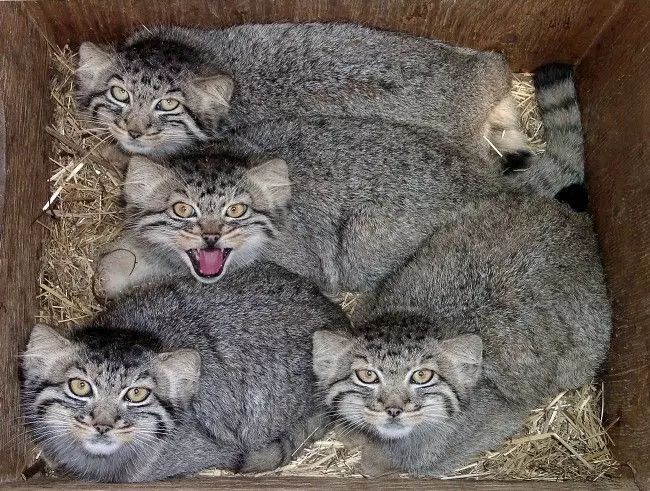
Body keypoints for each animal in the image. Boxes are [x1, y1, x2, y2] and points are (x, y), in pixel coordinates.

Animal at [312, 195, 608, 476]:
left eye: (422, 376)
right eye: (367, 376)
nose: (394, 409)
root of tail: (579, 223)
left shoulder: (496, 416)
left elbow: (424, 455)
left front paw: (378, 458)